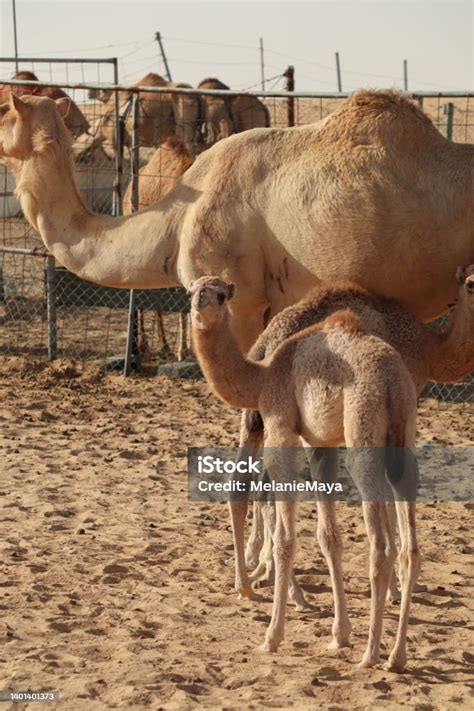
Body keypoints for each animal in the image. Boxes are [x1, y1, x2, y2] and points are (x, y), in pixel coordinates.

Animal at [188, 275, 424, 669]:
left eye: (221, 295)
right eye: (192, 290)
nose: (199, 305)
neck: (262, 376)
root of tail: (392, 382)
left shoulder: (281, 423)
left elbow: (284, 537)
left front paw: (271, 637)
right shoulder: (321, 442)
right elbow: (329, 536)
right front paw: (338, 634)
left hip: (362, 432)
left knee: (381, 546)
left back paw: (370, 654)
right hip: (404, 437)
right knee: (410, 547)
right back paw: (396, 656)